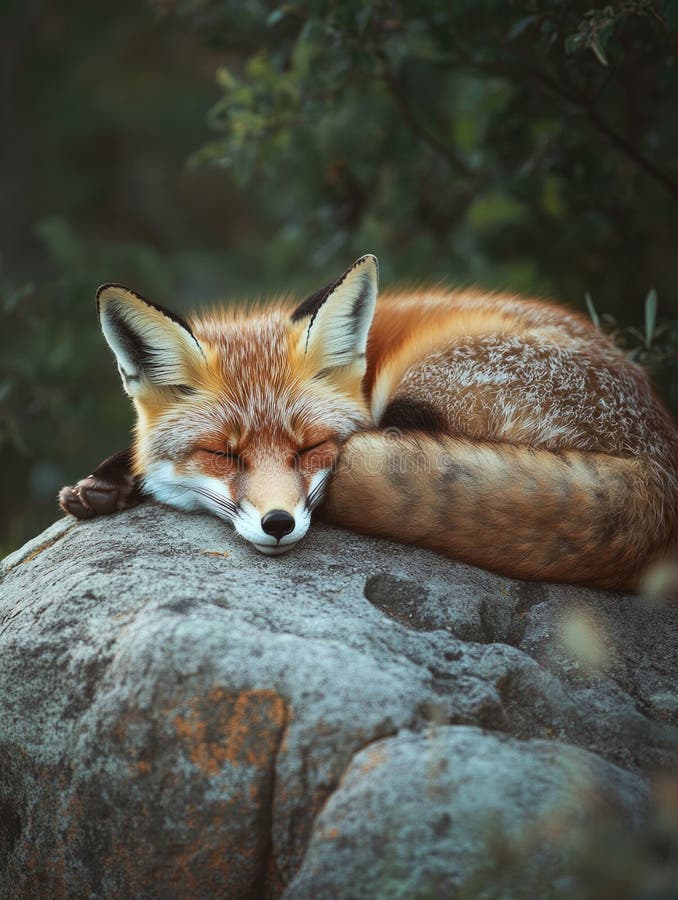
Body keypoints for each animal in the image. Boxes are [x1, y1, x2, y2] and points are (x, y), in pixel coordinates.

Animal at [58, 254, 678, 591]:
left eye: (311, 447)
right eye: (224, 455)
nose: (279, 523)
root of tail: (658, 466)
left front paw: (122, 480)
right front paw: (106, 485)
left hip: (425, 382)